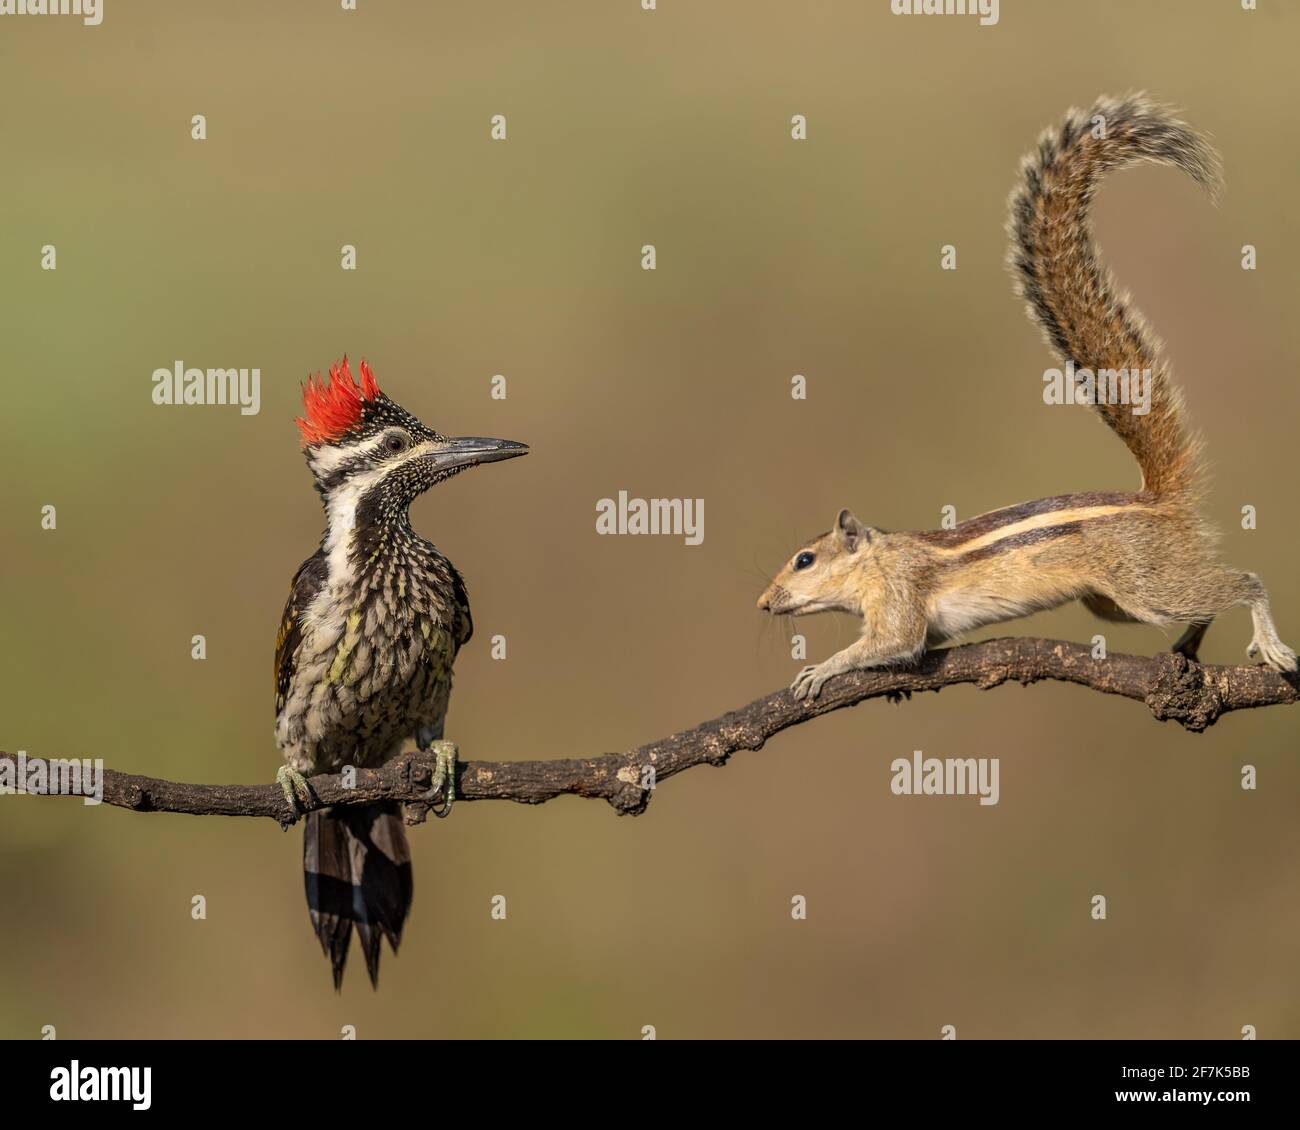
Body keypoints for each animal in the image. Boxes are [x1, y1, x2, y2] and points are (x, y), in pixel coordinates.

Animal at [757, 94, 1296, 701]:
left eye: (804, 559)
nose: (763, 602)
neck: (880, 560)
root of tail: (1160, 501)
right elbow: (910, 649)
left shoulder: (900, 599)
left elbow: (890, 642)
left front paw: (821, 668)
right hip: (1112, 602)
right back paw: (1187, 645)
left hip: (1145, 586)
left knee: (1243, 582)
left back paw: (1268, 640)